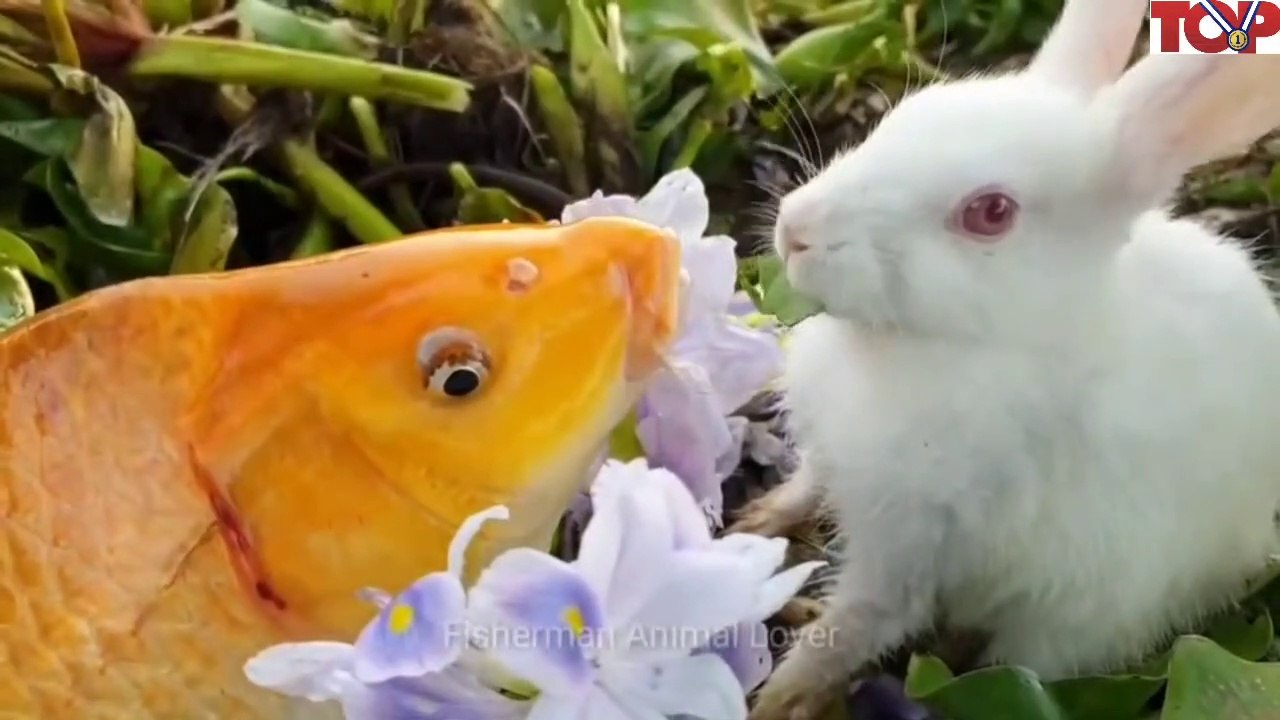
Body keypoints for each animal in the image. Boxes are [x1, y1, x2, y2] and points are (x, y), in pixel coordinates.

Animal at [736, 2, 1280, 719]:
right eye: (904, 114)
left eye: (990, 213)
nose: (795, 230)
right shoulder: (832, 459)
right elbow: (806, 483)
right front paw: (757, 518)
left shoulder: (907, 548)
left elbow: (852, 627)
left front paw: (778, 697)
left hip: (1073, 625)